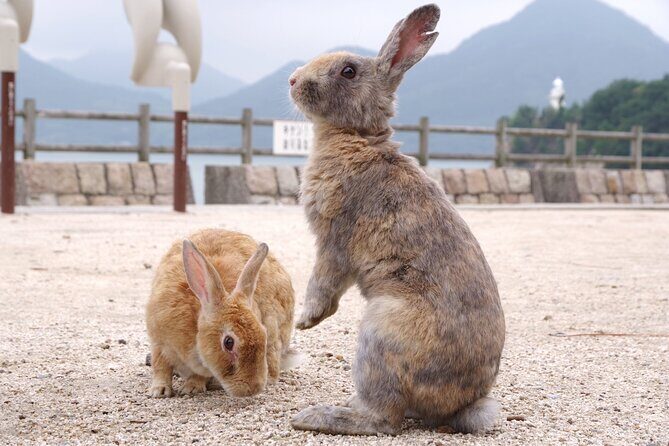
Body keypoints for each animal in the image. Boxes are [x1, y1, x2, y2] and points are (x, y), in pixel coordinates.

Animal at [146, 229, 299, 398]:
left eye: (263, 334)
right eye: (228, 342)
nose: (253, 389)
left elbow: (198, 375)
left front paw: (192, 387)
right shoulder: (159, 340)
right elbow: (160, 366)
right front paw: (159, 391)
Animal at [288, 3, 505, 436]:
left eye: (348, 71)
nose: (292, 80)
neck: (356, 135)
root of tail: (459, 404)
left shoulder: (334, 241)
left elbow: (323, 283)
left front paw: (304, 321)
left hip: (381, 332)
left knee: (384, 419)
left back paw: (316, 416)